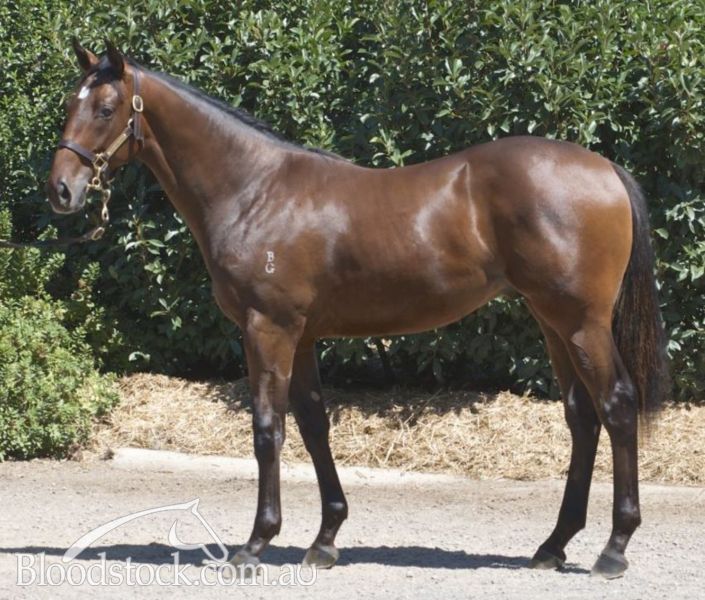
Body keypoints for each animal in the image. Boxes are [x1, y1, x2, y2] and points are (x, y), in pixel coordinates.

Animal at [46, 40, 669, 579]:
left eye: (106, 108)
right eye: (69, 104)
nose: (61, 191)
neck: (254, 190)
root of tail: (607, 170)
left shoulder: (267, 330)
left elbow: (268, 428)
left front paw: (256, 543)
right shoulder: (301, 336)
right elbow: (314, 424)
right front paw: (325, 541)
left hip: (582, 323)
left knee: (616, 405)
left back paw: (614, 548)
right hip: (552, 323)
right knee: (581, 416)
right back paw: (553, 545)